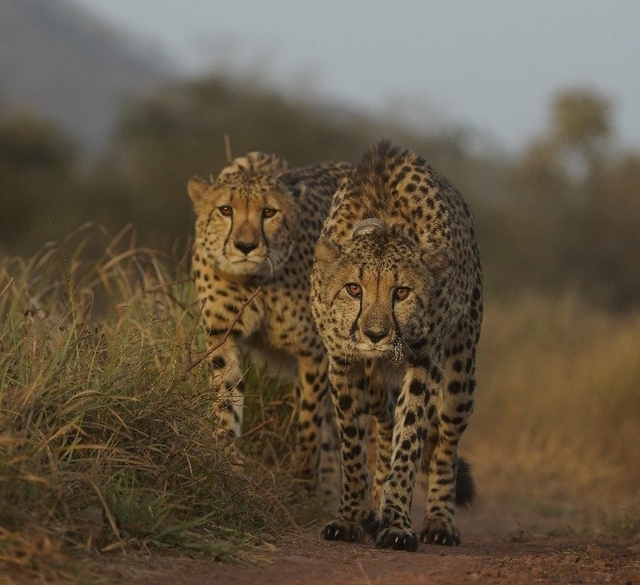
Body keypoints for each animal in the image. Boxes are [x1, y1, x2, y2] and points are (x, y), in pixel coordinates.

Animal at [188, 151, 352, 497]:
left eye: (269, 212)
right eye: (225, 210)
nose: (245, 246)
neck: (258, 279)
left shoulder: (314, 352)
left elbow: (310, 420)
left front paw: (304, 484)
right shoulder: (223, 336)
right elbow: (226, 399)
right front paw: (226, 458)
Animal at [310, 139, 483, 551]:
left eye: (401, 292)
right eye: (353, 289)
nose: (375, 334)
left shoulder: (425, 362)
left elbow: (410, 442)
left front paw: (397, 524)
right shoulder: (342, 361)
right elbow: (353, 448)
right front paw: (350, 517)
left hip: (461, 372)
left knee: (446, 442)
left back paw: (439, 521)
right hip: (376, 382)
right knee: (385, 418)